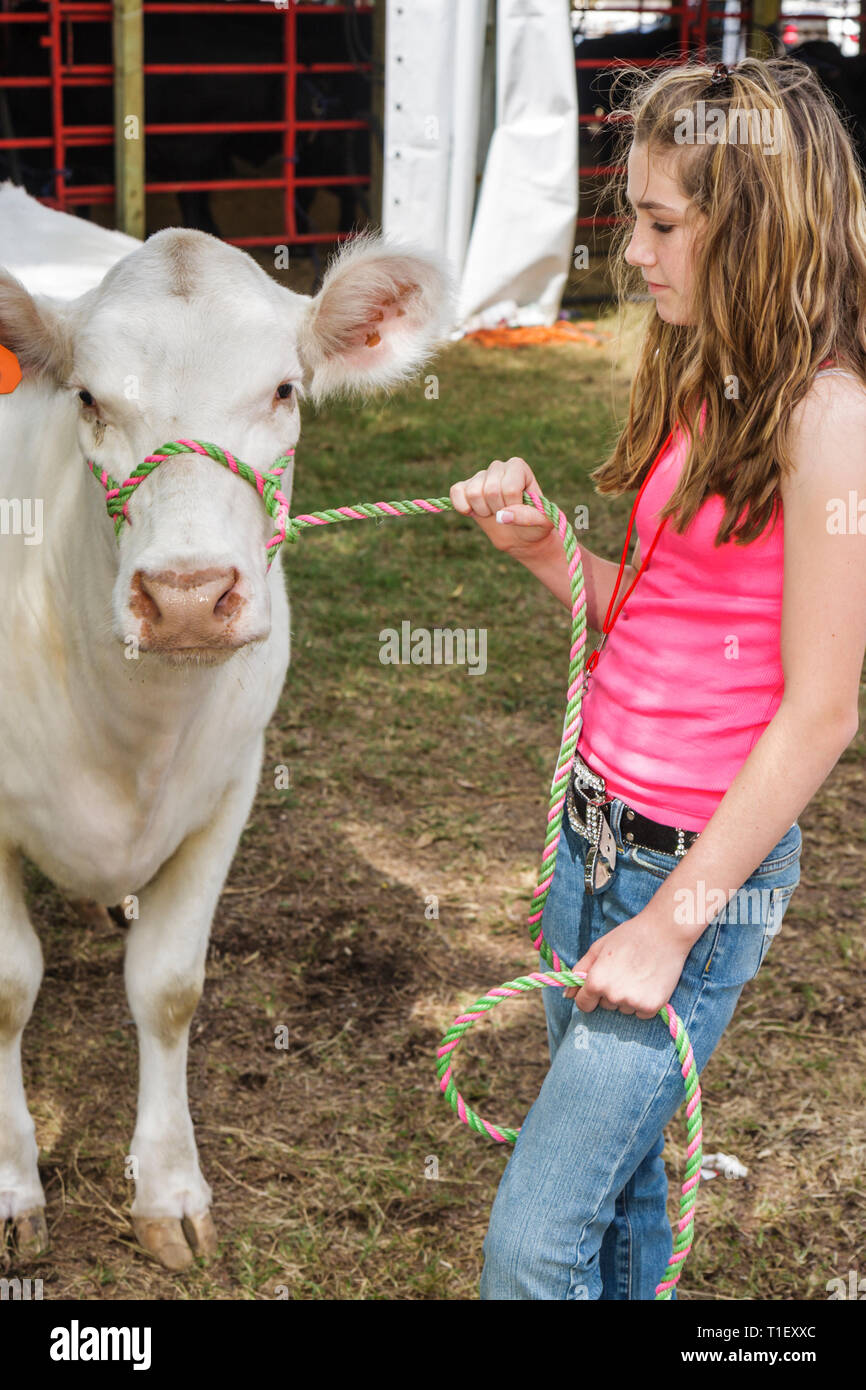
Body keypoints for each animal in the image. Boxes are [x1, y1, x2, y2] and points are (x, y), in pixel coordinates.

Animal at [0, 193, 454, 1270]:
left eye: (284, 389)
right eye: (87, 399)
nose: (186, 596)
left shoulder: (229, 787)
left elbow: (169, 988)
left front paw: (168, 1188)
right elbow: (7, 986)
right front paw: (11, 1186)